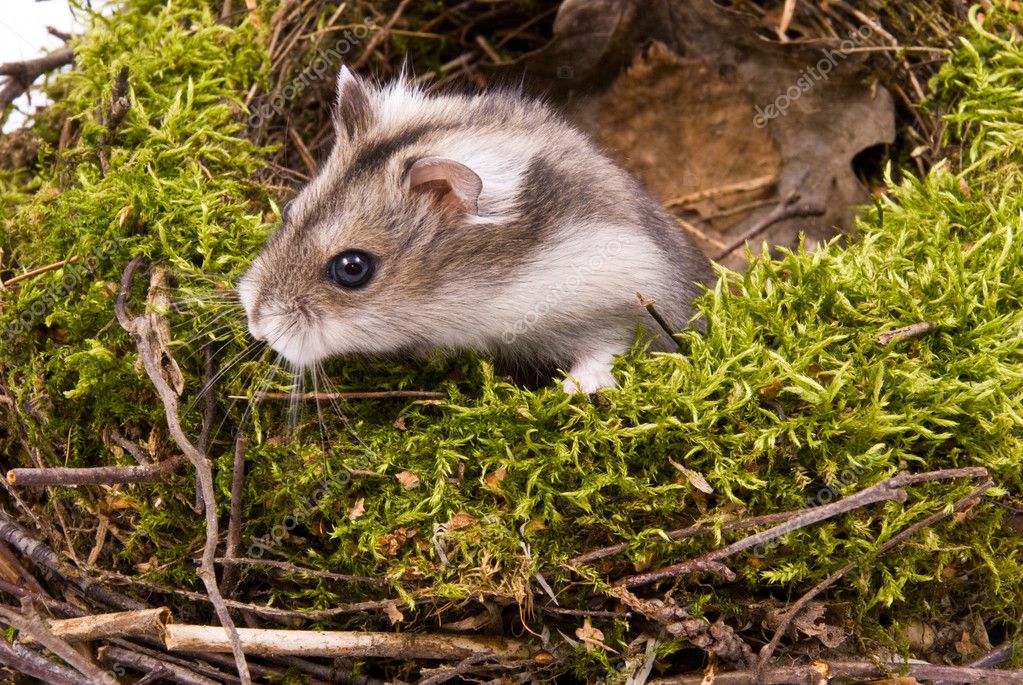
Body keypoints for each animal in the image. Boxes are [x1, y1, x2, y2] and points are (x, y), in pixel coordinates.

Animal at [238, 67, 714, 393]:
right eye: (288, 210)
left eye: (352, 268)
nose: (258, 327)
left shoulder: (623, 288)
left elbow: (608, 346)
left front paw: (574, 390)